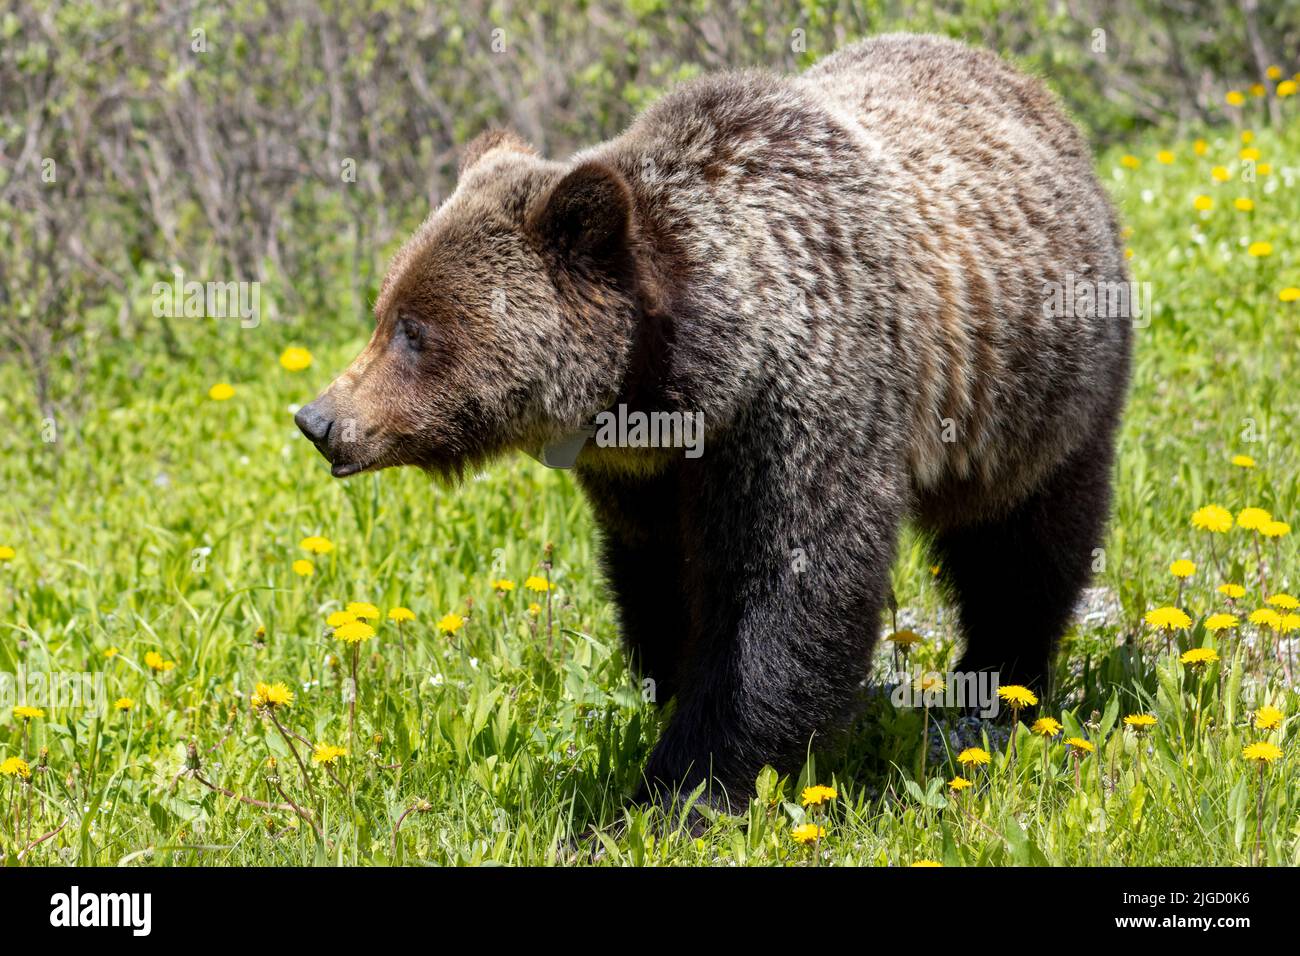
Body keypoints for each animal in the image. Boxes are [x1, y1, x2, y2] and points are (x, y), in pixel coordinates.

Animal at [296, 33, 1132, 811]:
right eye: (385, 311)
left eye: (416, 329)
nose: (319, 418)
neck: (687, 386)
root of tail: (1025, 85)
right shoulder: (643, 481)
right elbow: (662, 585)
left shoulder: (803, 405)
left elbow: (783, 602)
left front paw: (678, 793)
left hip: (1036, 390)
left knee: (1025, 542)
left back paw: (997, 686)